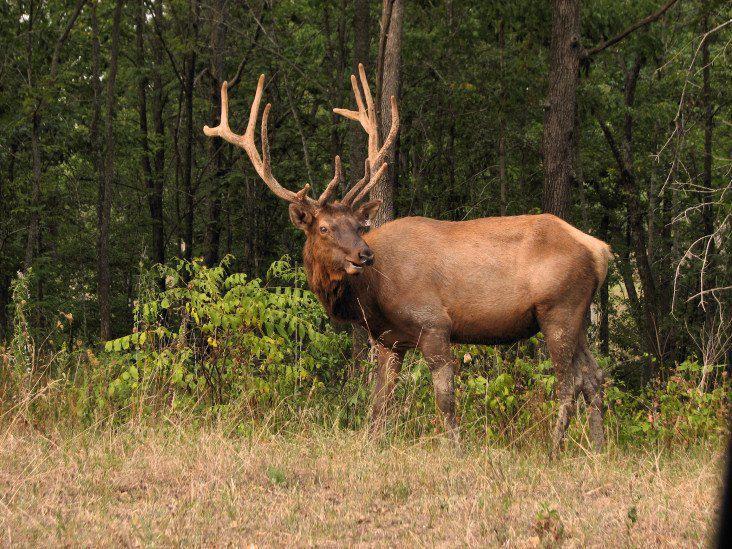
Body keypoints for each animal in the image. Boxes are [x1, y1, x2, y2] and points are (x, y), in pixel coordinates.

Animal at [203, 65, 613, 453]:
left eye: (358, 225)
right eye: (324, 228)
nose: (364, 255)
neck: (371, 297)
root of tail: (600, 250)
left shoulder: (433, 323)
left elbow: (445, 401)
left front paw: (455, 451)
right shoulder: (389, 341)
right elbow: (378, 405)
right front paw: (371, 446)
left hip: (558, 308)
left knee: (569, 382)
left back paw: (556, 449)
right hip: (579, 316)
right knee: (594, 377)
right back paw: (597, 450)